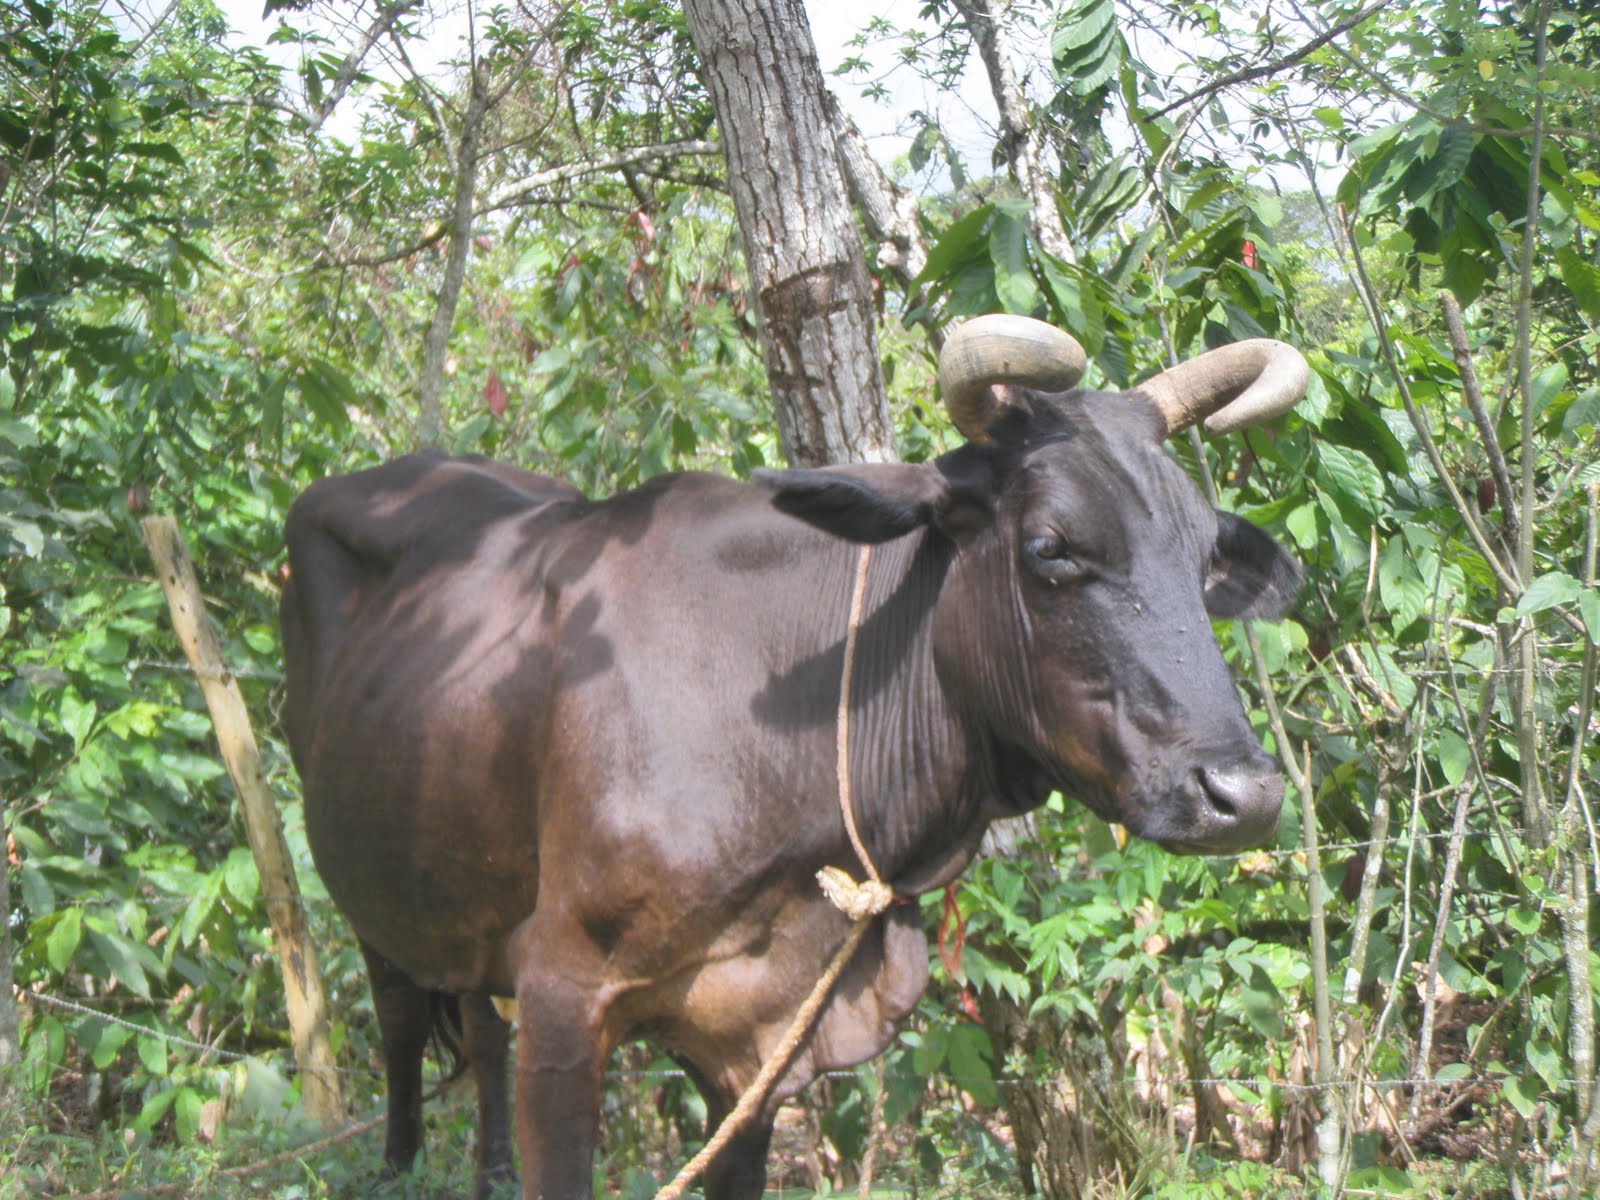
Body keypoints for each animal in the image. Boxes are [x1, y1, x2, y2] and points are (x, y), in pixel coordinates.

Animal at [278, 315, 1307, 1200]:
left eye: (1205, 559)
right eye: (1051, 548)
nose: (1243, 793)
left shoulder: (756, 1050)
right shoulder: (564, 990)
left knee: (473, 1025)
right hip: (365, 877)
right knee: (403, 1016)